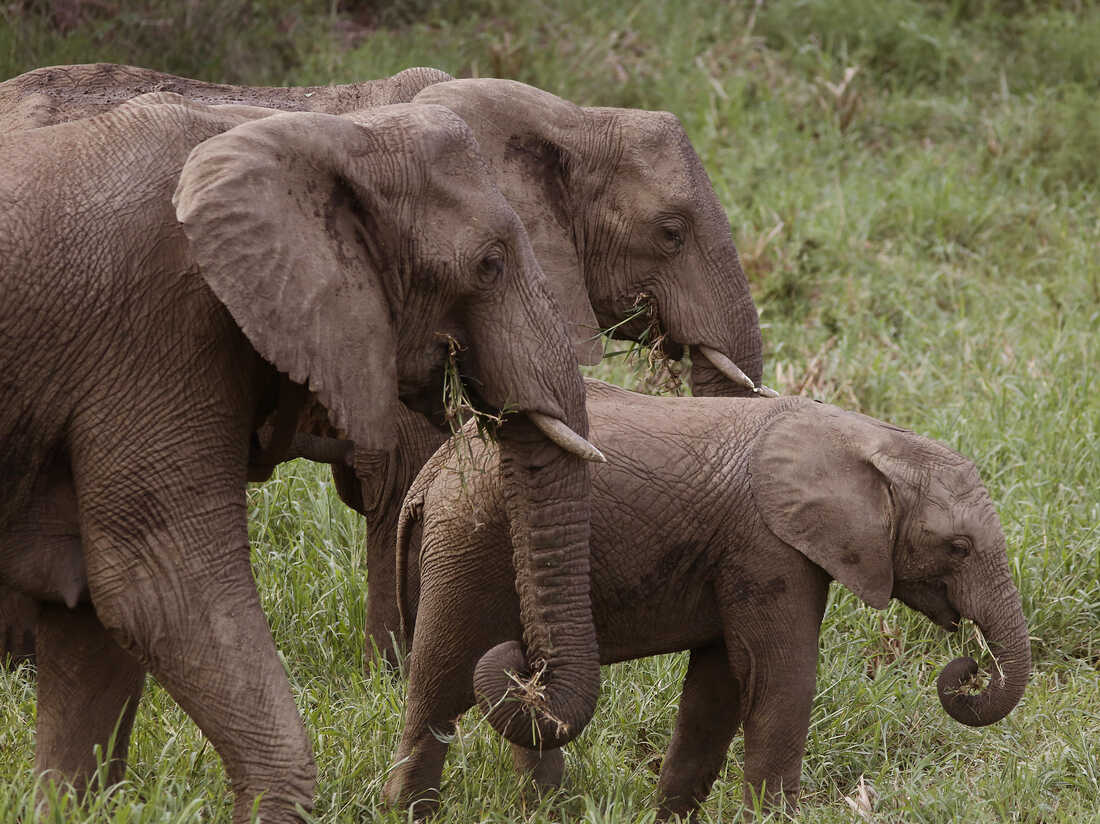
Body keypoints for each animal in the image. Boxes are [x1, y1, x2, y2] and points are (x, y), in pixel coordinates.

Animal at [0, 92, 605, 822]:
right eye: (488, 265)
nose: (519, 660)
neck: (315, 132)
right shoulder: (154, 331)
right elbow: (155, 586)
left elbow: (87, 605)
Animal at [385, 380, 1031, 819]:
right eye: (959, 547)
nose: (969, 668)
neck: (868, 438)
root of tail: (432, 473)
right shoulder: (768, 546)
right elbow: (778, 676)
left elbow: (718, 687)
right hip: (468, 544)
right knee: (439, 684)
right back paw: (409, 812)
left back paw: (548, 814)